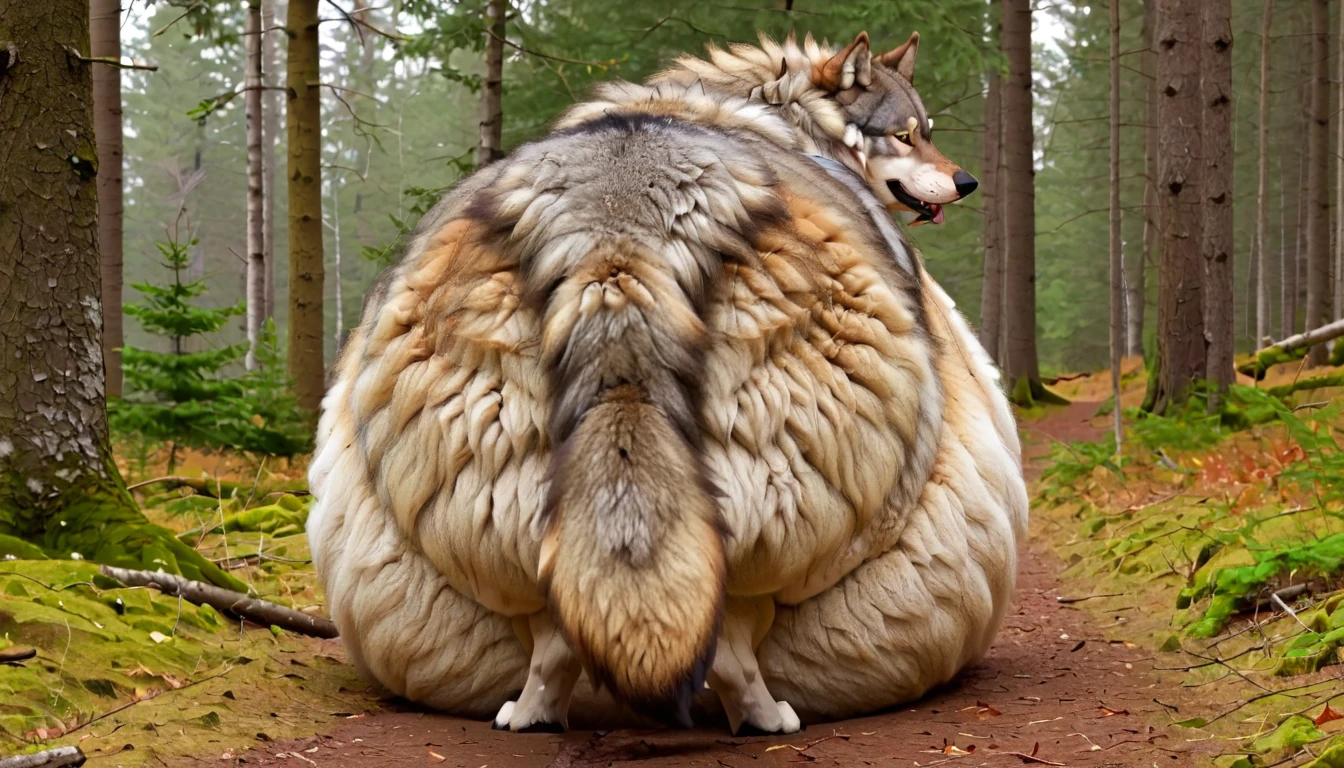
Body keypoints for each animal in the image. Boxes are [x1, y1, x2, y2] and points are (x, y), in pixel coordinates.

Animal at [307, 30, 1027, 735]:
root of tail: (615, 221)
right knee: (731, 649)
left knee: (557, 640)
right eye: (907, 135)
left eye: (927, 130)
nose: (966, 181)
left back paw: (528, 716)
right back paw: (771, 720)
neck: (778, 114)